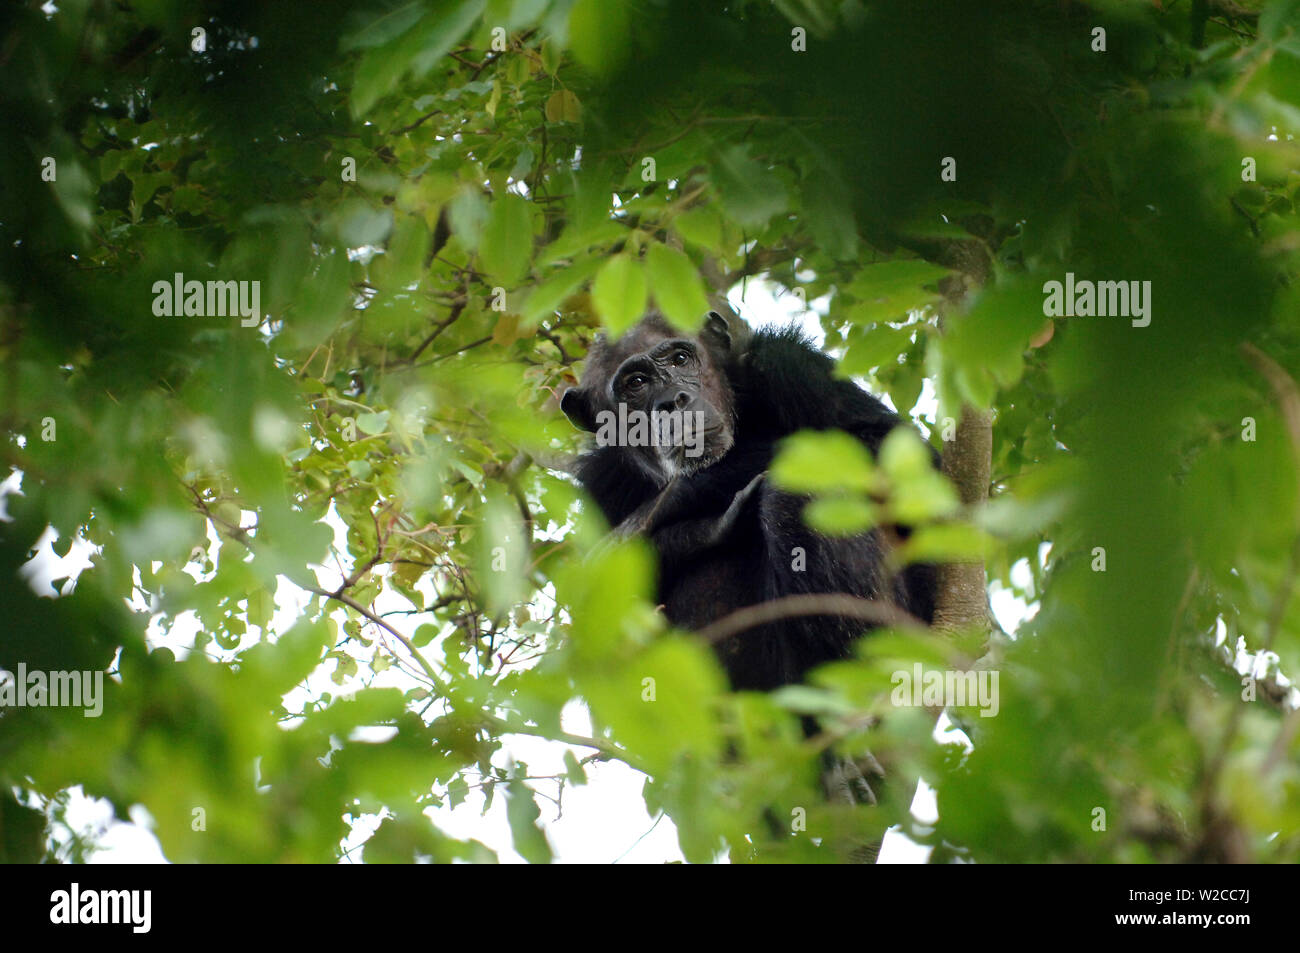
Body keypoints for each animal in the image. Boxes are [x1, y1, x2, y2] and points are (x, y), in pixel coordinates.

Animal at [561, 309, 936, 693]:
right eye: (636, 383)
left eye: (680, 359)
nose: (672, 401)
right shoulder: (599, 480)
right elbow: (592, 601)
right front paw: (702, 522)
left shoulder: (791, 364)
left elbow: (892, 453)